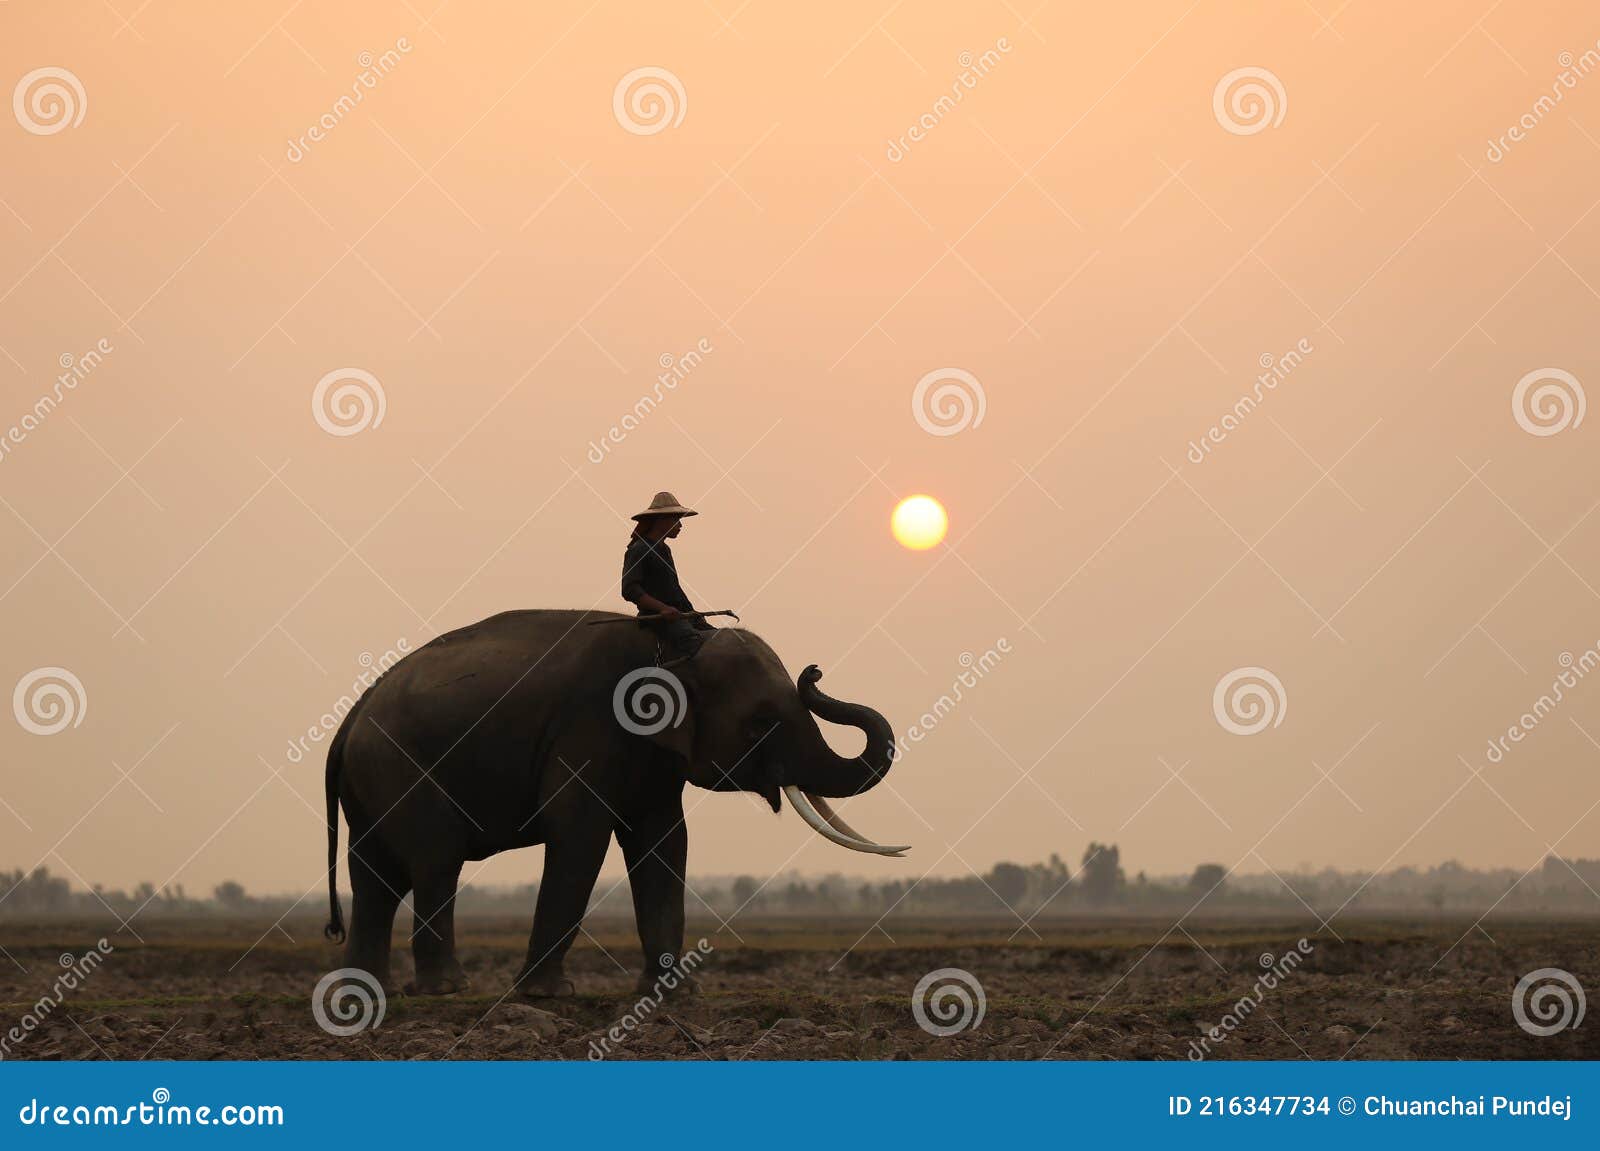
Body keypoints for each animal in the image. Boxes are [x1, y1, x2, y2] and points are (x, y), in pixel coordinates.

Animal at [321, 609, 904, 997]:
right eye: (760, 723)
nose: (815, 673)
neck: (674, 652)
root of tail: (351, 717)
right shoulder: (591, 728)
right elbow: (579, 836)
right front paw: (547, 996)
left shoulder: (655, 757)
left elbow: (664, 842)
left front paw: (670, 996)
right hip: (400, 767)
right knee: (435, 861)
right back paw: (445, 991)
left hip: (371, 780)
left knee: (374, 877)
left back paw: (365, 994)